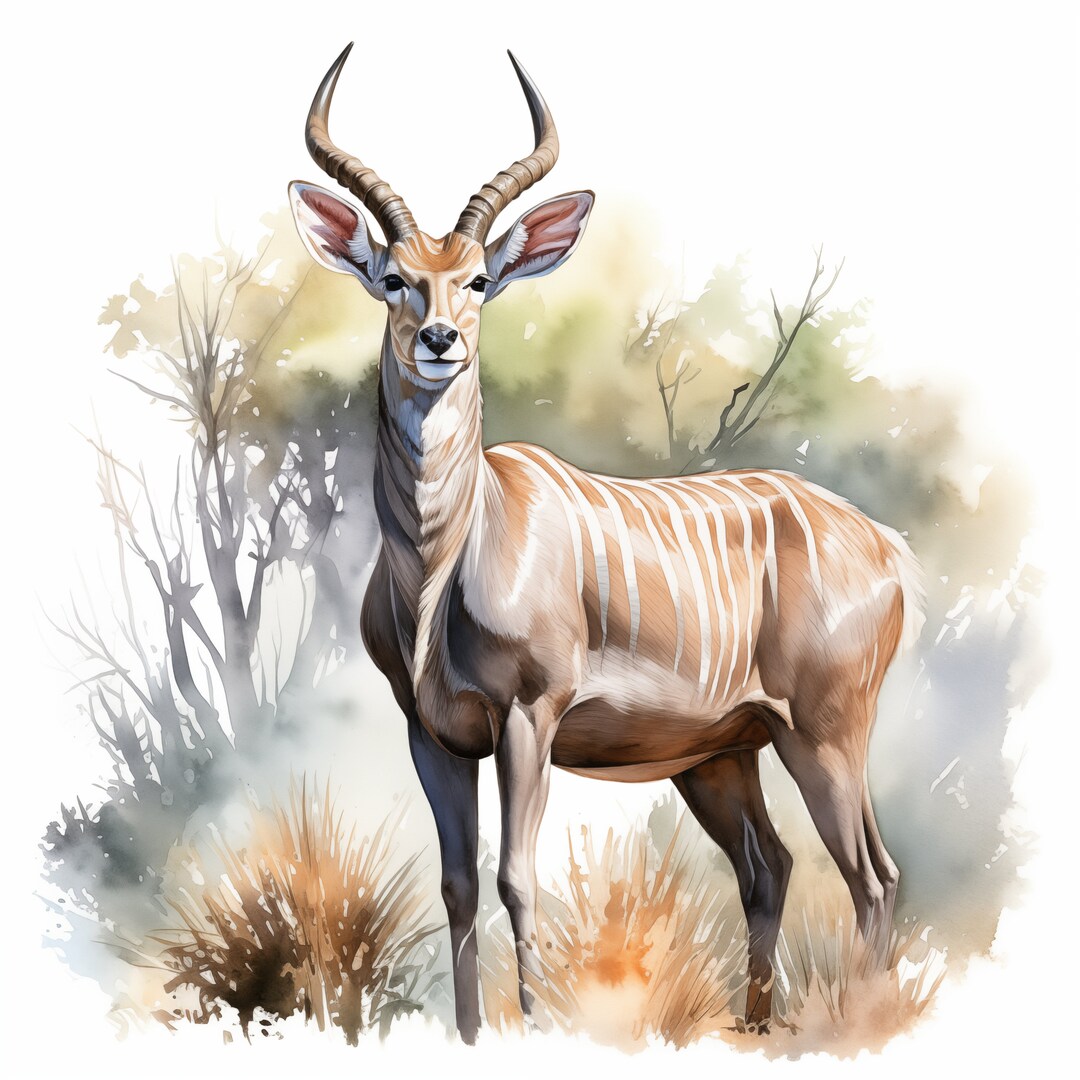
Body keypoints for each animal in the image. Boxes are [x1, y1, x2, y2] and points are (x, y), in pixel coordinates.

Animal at [289, 44, 925, 1042]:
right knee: (771, 866)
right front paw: (472, 1034)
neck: (442, 565)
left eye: (478, 278)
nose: (439, 339)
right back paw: (754, 1026)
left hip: (825, 734)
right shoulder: (433, 735)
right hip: (724, 757)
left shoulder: (529, 716)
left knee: (872, 874)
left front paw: (536, 1025)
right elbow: (458, 886)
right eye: (393, 276)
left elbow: (516, 877)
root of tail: (888, 549)